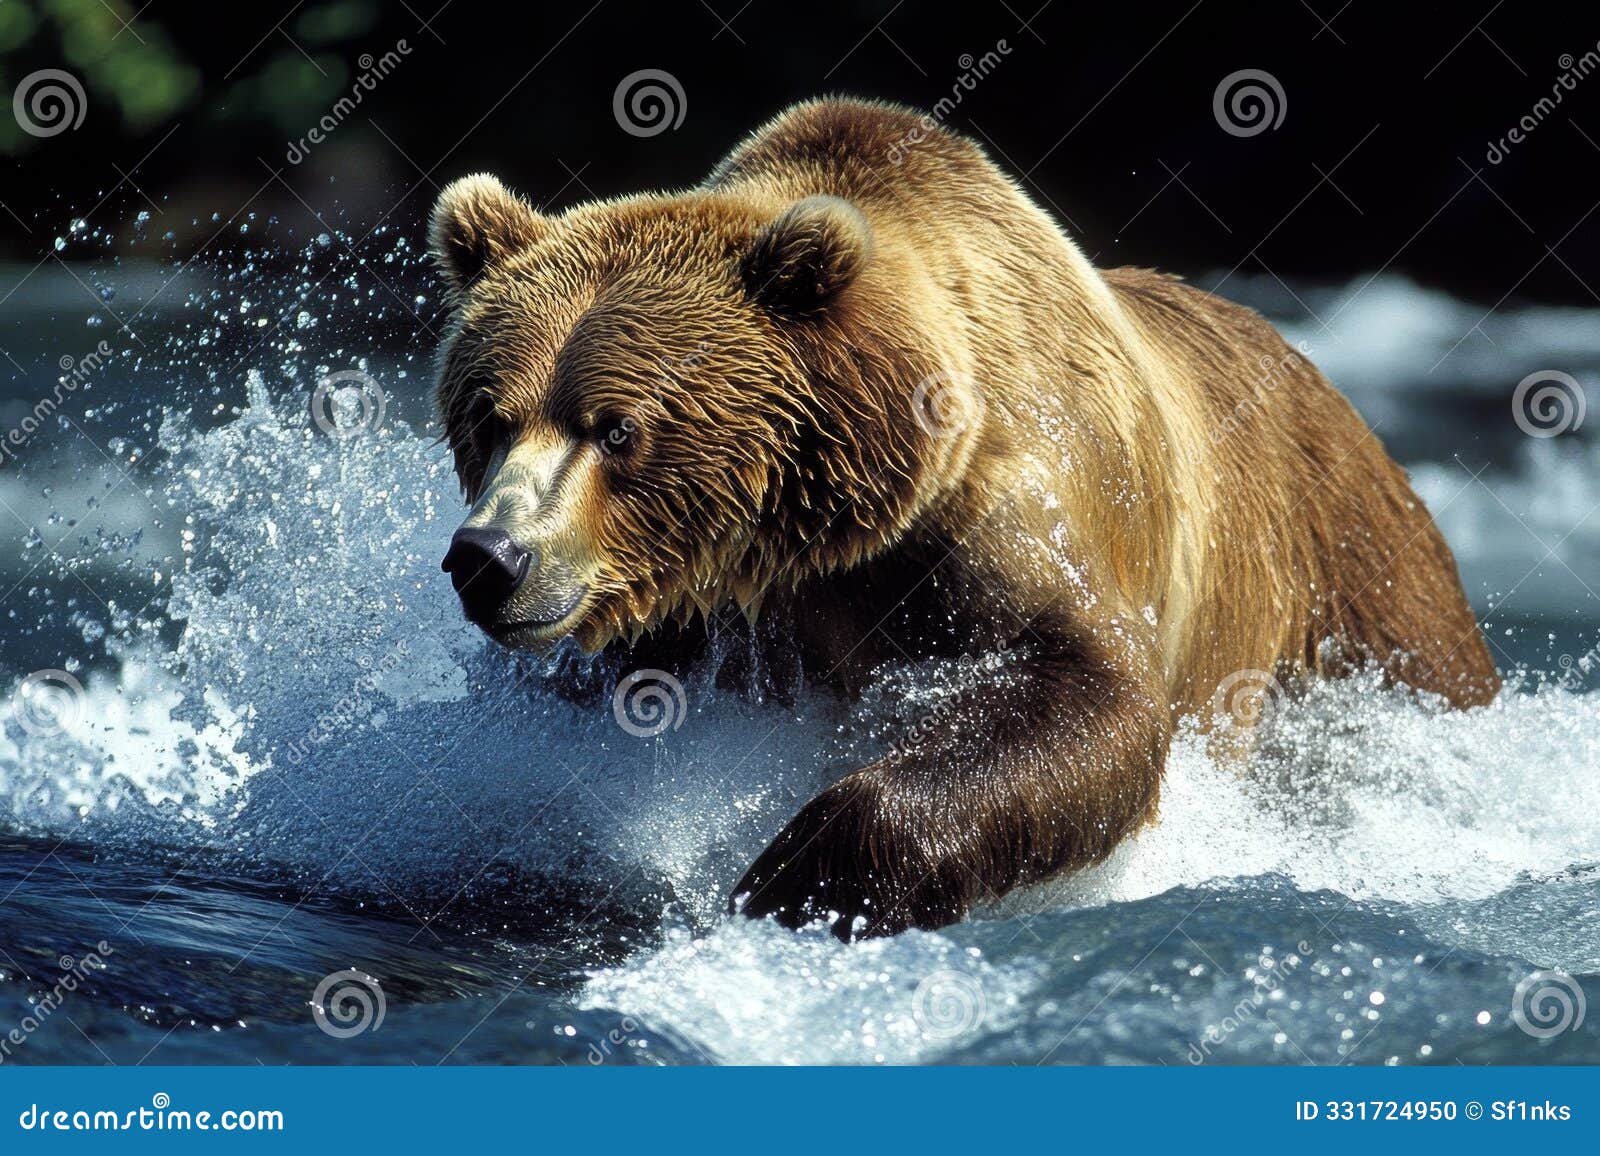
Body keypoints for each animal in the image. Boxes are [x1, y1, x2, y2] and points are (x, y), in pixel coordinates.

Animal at [427, 97, 1499, 939]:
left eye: (616, 428)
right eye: (489, 413)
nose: (492, 557)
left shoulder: (1000, 514)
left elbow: (1092, 695)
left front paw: (793, 876)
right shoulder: (697, 622)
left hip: (1355, 590)